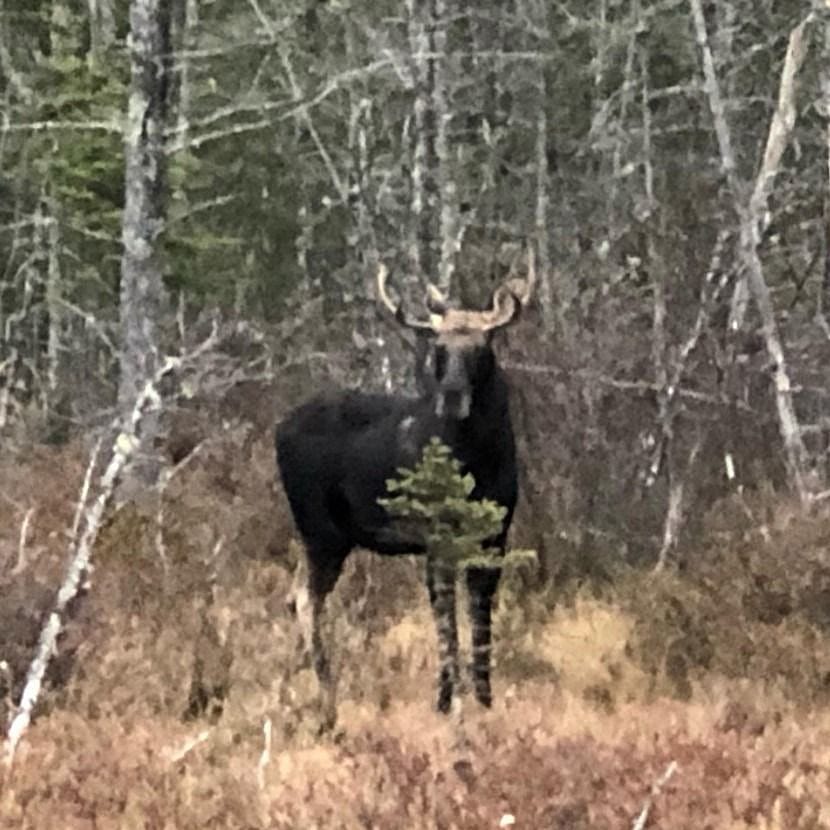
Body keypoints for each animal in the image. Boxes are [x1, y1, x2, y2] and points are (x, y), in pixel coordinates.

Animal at [275, 251, 534, 728]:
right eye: (439, 348)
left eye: (481, 349)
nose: (452, 394)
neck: (479, 461)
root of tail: (277, 429)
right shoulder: (436, 537)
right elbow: (447, 622)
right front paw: (449, 702)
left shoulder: (495, 537)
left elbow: (481, 622)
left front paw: (483, 700)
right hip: (320, 529)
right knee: (306, 599)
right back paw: (327, 704)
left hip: (324, 536)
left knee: (292, 594)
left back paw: (285, 692)